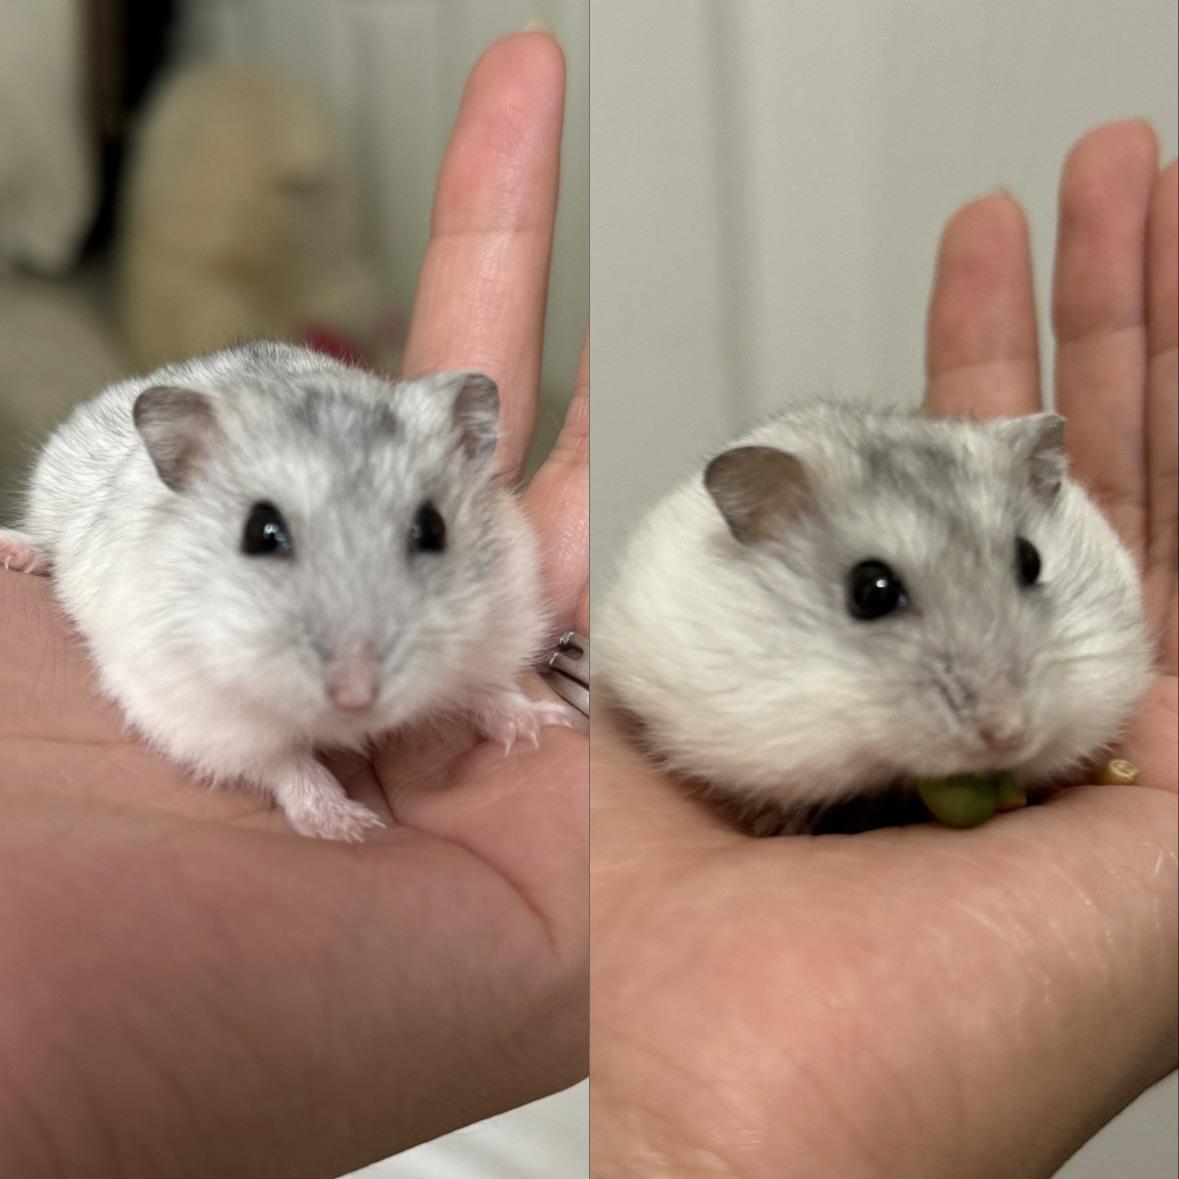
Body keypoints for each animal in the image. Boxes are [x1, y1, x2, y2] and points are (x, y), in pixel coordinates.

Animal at [0, 342, 569, 840]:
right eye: (262, 533)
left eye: (433, 529)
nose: (356, 697)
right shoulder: (196, 708)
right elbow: (284, 762)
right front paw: (349, 827)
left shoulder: (503, 621)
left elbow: (490, 690)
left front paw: (542, 727)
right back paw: (15, 552)